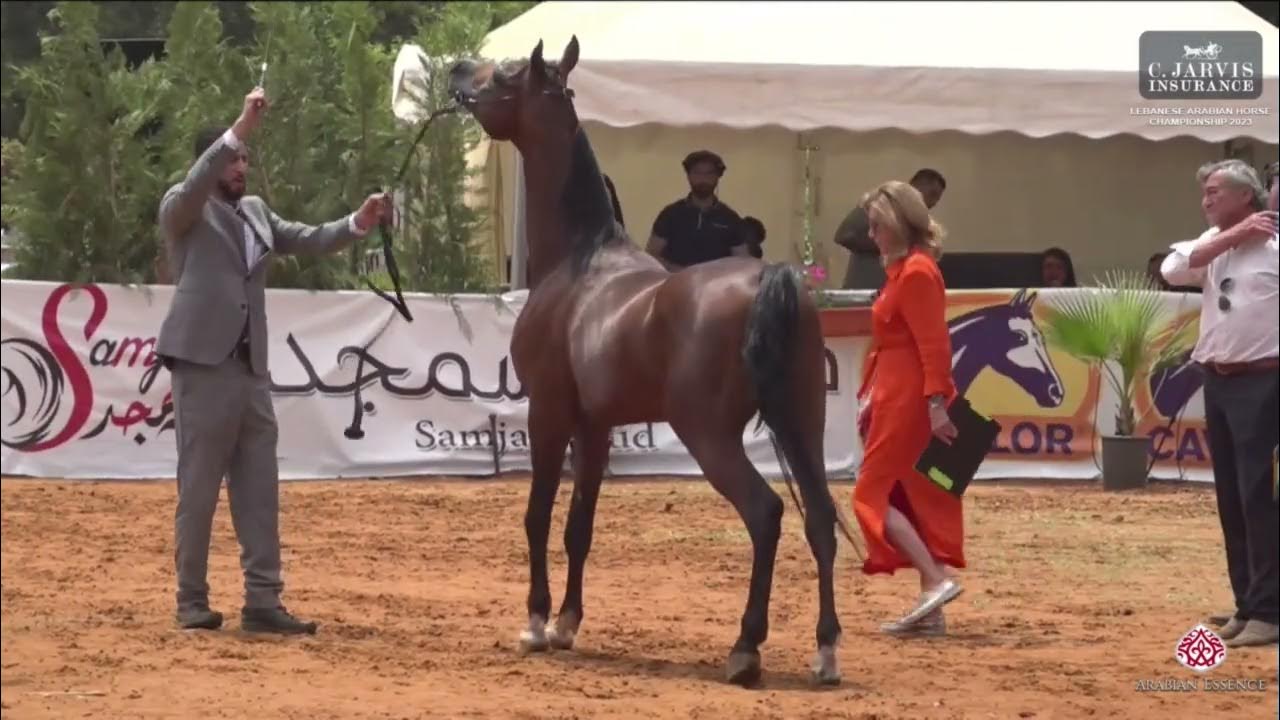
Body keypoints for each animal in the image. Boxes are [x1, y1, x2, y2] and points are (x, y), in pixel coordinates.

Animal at [447, 36, 852, 687]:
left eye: (507, 75)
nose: (459, 69)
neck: (580, 262)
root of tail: (769, 278)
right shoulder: (595, 426)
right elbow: (579, 526)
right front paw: (567, 624)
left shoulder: (549, 414)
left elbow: (537, 515)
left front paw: (536, 623)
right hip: (803, 426)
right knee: (819, 518)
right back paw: (826, 653)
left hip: (709, 435)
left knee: (765, 513)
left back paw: (745, 648)